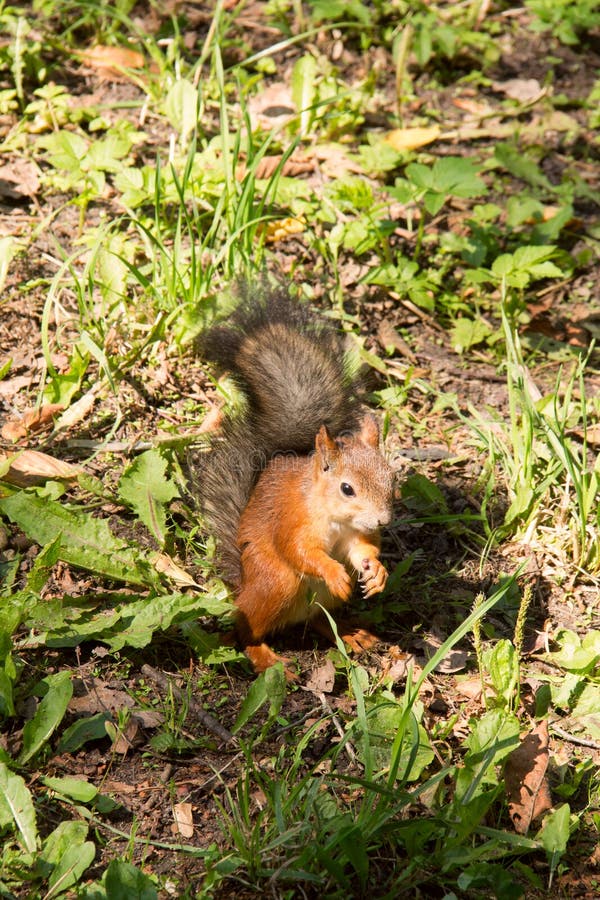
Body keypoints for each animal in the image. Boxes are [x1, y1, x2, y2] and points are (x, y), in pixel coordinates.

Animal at [195, 283, 394, 679]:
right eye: (347, 488)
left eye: (390, 478)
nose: (382, 521)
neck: (333, 516)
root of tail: (241, 588)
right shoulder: (290, 519)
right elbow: (299, 550)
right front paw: (333, 570)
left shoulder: (354, 535)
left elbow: (361, 550)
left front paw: (376, 570)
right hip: (276, 583)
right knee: (245, 631)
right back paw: (266, 658)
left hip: (317, 602)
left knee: (318, 621)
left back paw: (351, 633)